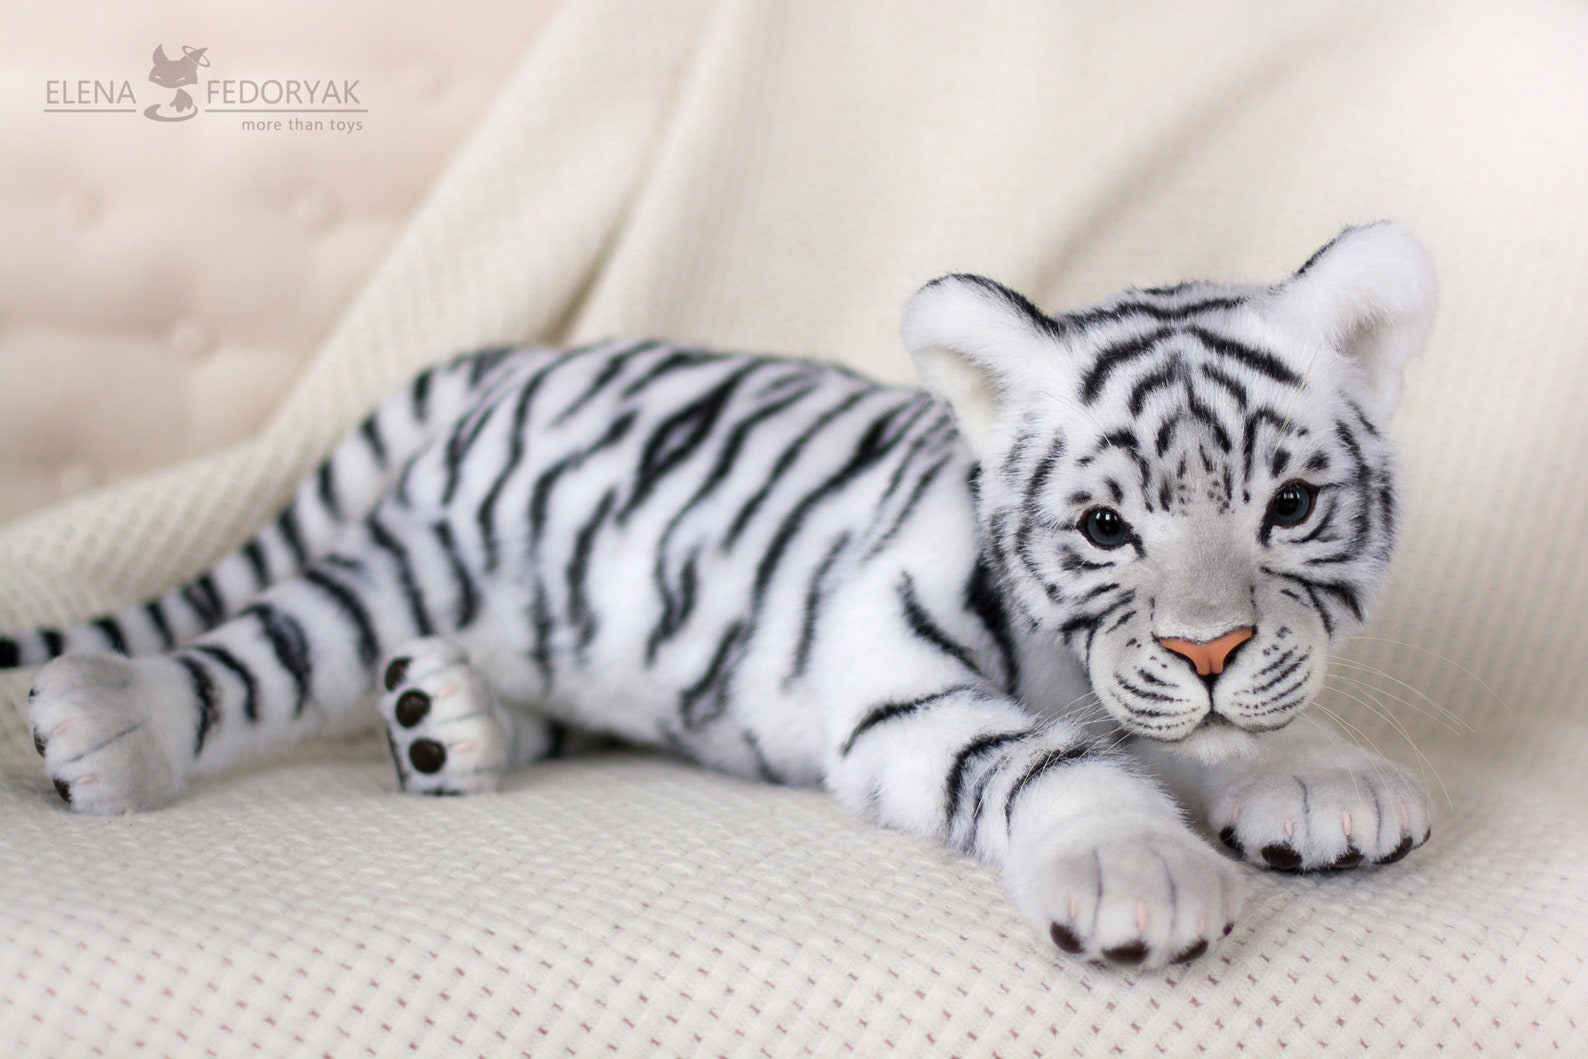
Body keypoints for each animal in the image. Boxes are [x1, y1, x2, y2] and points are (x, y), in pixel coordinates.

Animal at [1, 221, 1435, 969]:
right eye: (1103, 526)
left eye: (1288, 507)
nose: (1209, 644)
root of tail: (508, 360)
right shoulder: (895, 688)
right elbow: (1044, 757)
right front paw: (1138, 867)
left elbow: (1241, 723)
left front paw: (1324, 780)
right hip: (411, 557)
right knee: (257, 652)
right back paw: (110, 721)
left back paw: (443, 721)